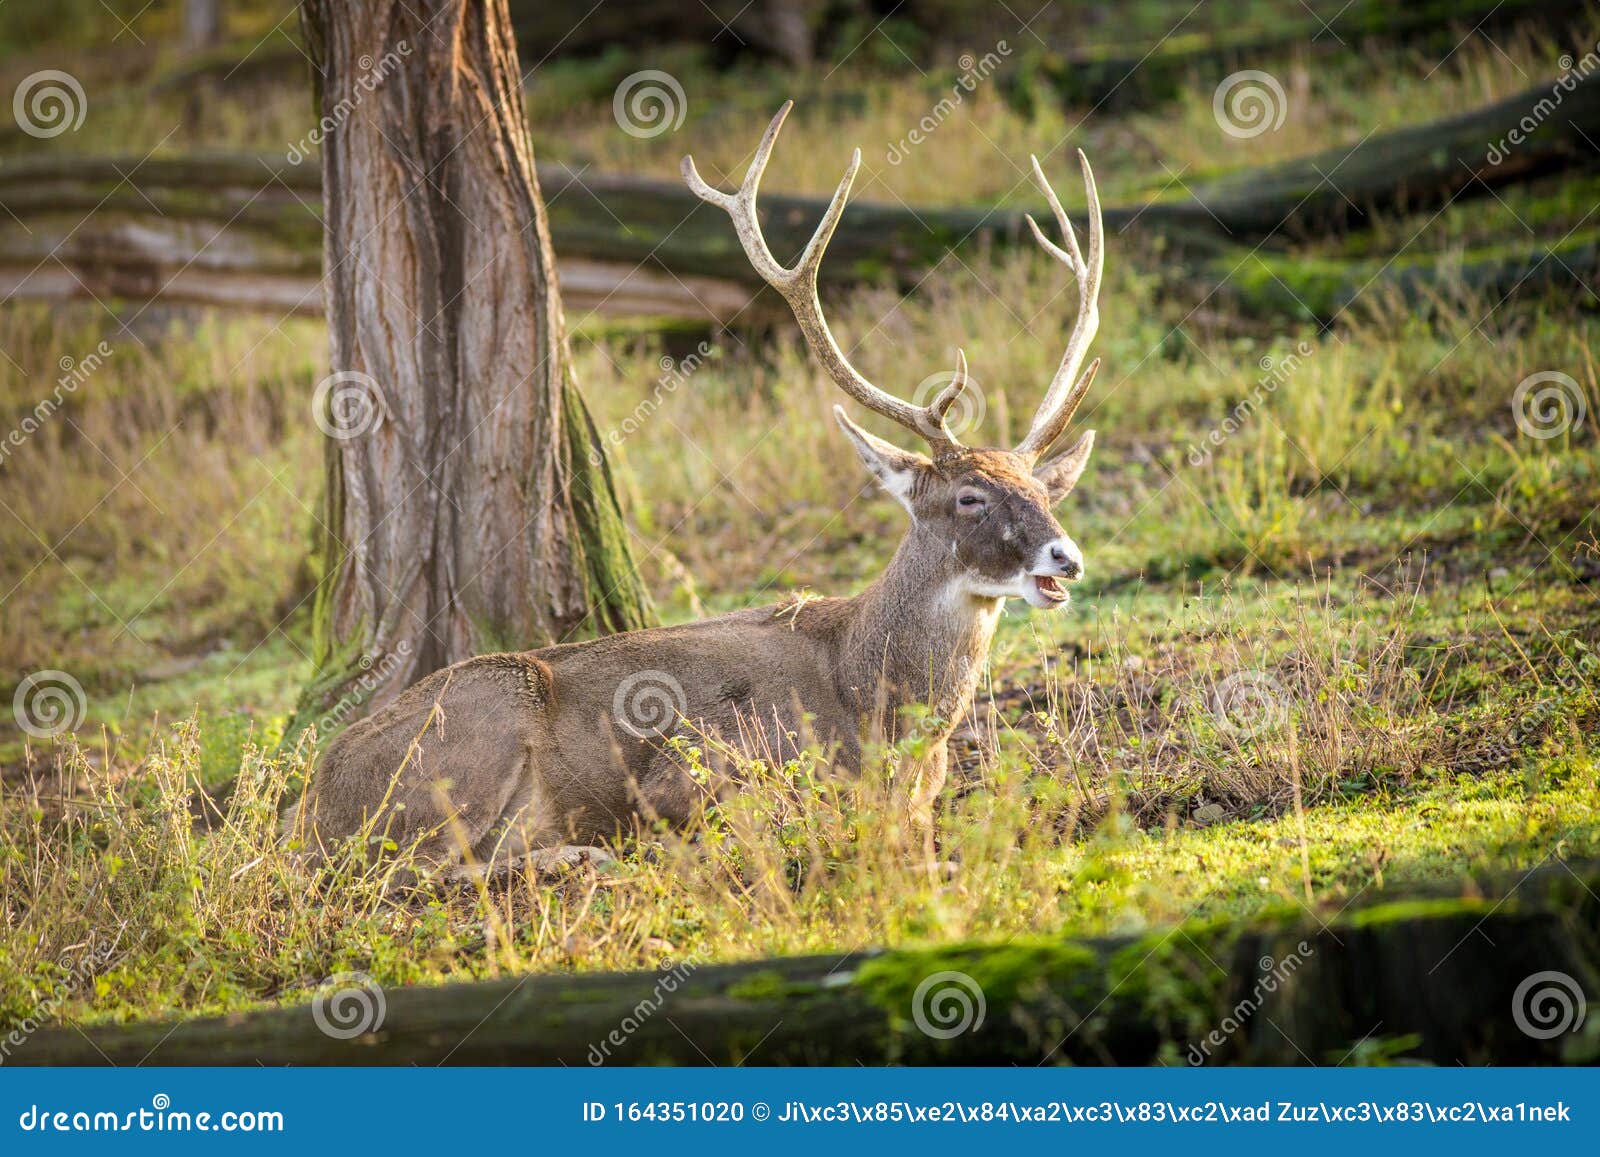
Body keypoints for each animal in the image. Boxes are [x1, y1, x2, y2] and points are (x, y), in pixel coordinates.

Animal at [284, 102, 1105, 882]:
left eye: (1043, 490)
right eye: (969, 496)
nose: (1066, 556)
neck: (871, 703)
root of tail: (311, 807)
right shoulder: (701, 768)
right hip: (481, 724)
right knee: (398, 875)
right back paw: (573, 858)